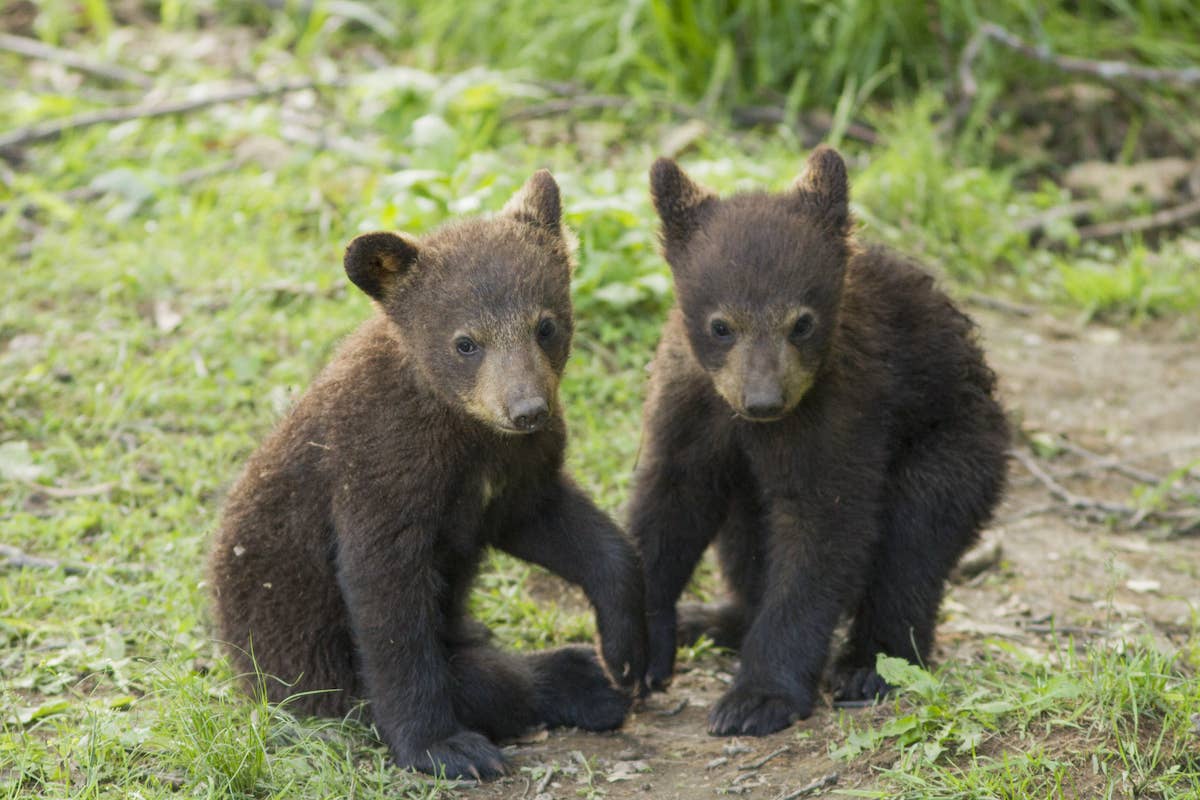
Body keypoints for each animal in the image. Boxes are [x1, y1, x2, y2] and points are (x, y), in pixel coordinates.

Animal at [208, 170, 647, 779]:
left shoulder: (512, 475)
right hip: (309, 669)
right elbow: (388, 601)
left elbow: (563, 525)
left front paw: (630, 647)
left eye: (545, 325)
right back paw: (569, 679)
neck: (464, 430)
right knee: (480, 679)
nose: (527, 409)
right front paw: (442, 744)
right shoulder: (380, 470)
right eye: (465, 342)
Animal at [627, 147, 1009, 736]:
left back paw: (872, 664)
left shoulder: (840, 408)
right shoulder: (688, 399)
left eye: (801, 322)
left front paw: (757, 697)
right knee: (744, 535)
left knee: (914, 542)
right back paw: (715, 618)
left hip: (956, 443)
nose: (764, 401)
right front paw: (641, 646)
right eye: (721, 325)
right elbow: (670, 501)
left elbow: (824, 526)